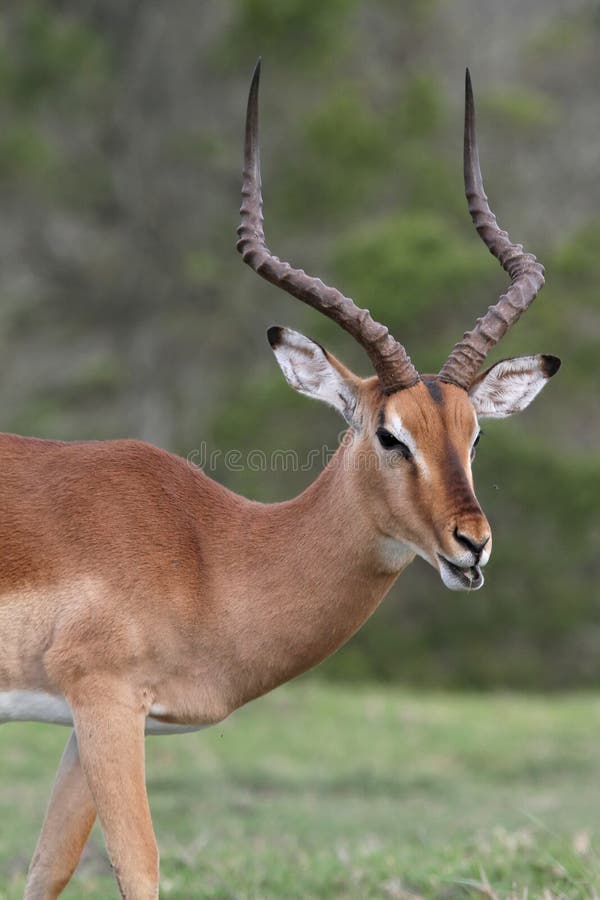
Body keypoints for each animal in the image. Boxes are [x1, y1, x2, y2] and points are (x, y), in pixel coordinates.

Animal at [0, 63, 559, 899]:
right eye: (389, 434)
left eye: (475, 434)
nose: (472, 545)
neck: (207, 553)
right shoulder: (104, 700)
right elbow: (139, 861)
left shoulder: (85, 719)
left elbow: (48, 865)